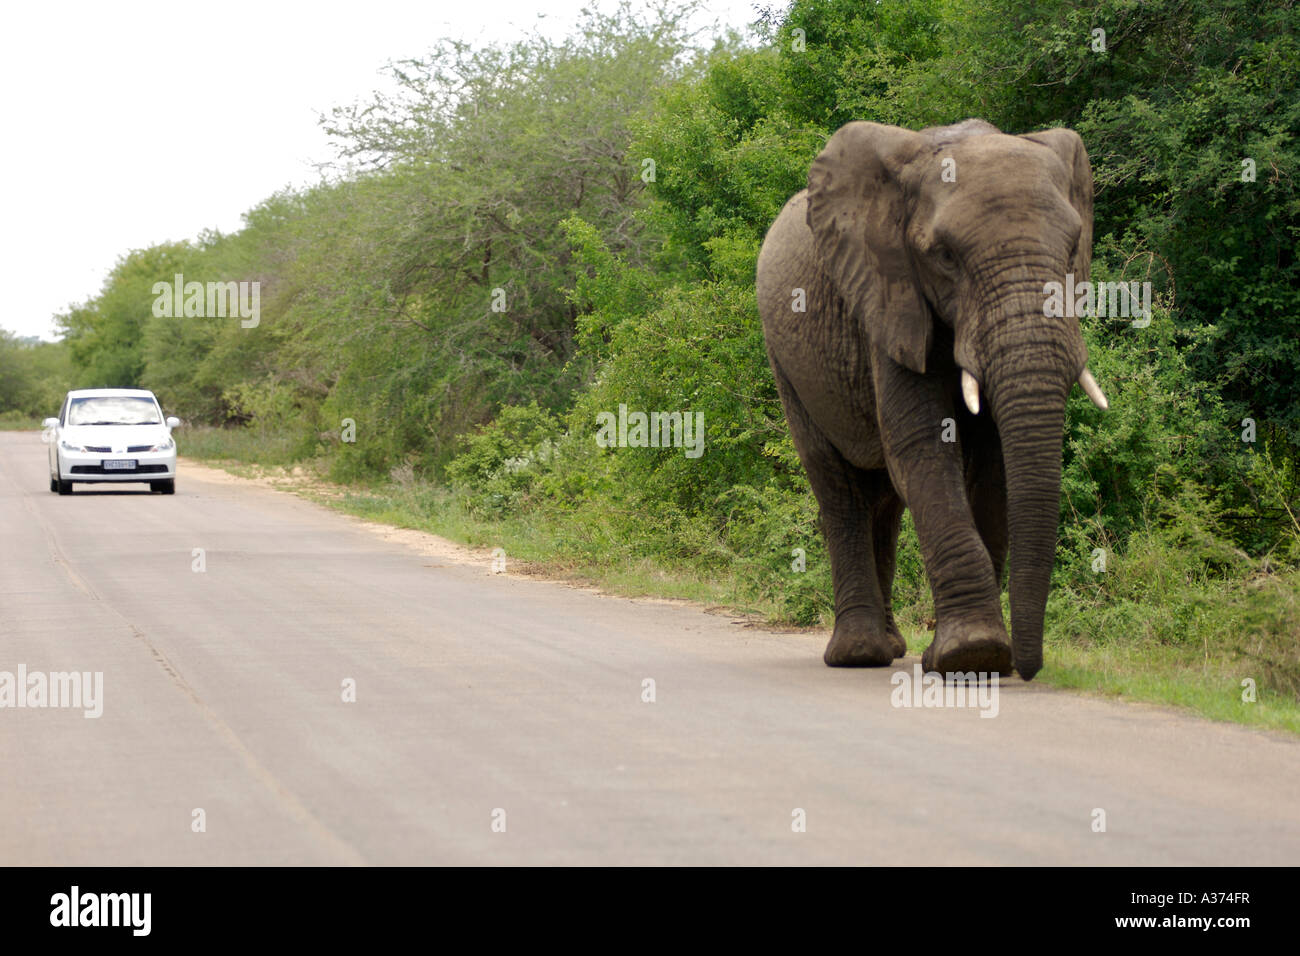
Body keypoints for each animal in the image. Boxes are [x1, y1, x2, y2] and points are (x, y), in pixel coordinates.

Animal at [755, 119, 1108, 680]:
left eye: (1074, 245)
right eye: (944, 257)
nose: (1029, 668)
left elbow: (993, 464)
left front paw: (983, 660)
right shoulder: (888, 299)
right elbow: (924, 446)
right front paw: (973, 653)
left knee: (883, 499)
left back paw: (890, 646)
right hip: (785, 362)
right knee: (839, 489)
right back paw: (859, 654)